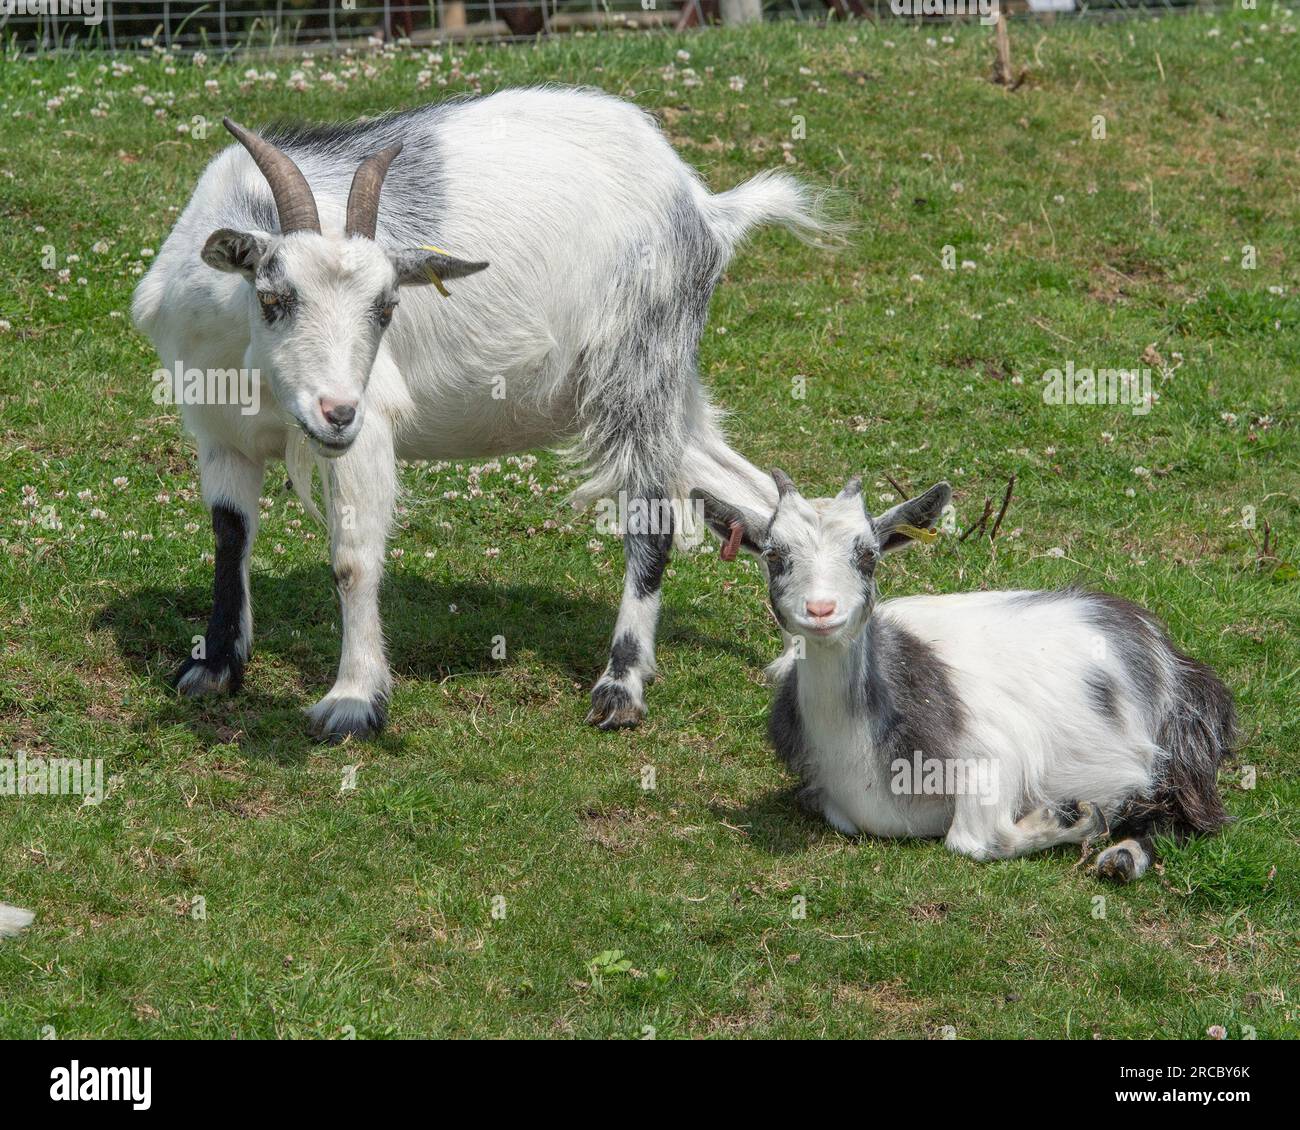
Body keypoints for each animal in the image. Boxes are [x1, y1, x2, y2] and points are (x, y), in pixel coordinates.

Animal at [132, 88, 828, 740]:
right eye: (274, 297)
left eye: (386, 306)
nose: (336, 413)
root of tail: (702, 208)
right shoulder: (219, 433)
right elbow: (229, 535)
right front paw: (213, 667)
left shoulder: (369, 429)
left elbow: (352, 558)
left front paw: (353, 701)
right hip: (662, 394)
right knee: (758, 496)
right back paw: (799, 653)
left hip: (640, 366)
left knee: (651, 521)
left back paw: (621, 687)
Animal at [693, 472, 1236, 881]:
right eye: (773, 555)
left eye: (867, 555)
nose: (821, 609)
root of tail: (1149, 631)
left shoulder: (994, 754)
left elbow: (971, 840)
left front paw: (1072, 816)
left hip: (1181, 740)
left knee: (1191, 812)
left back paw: (1122, 855)